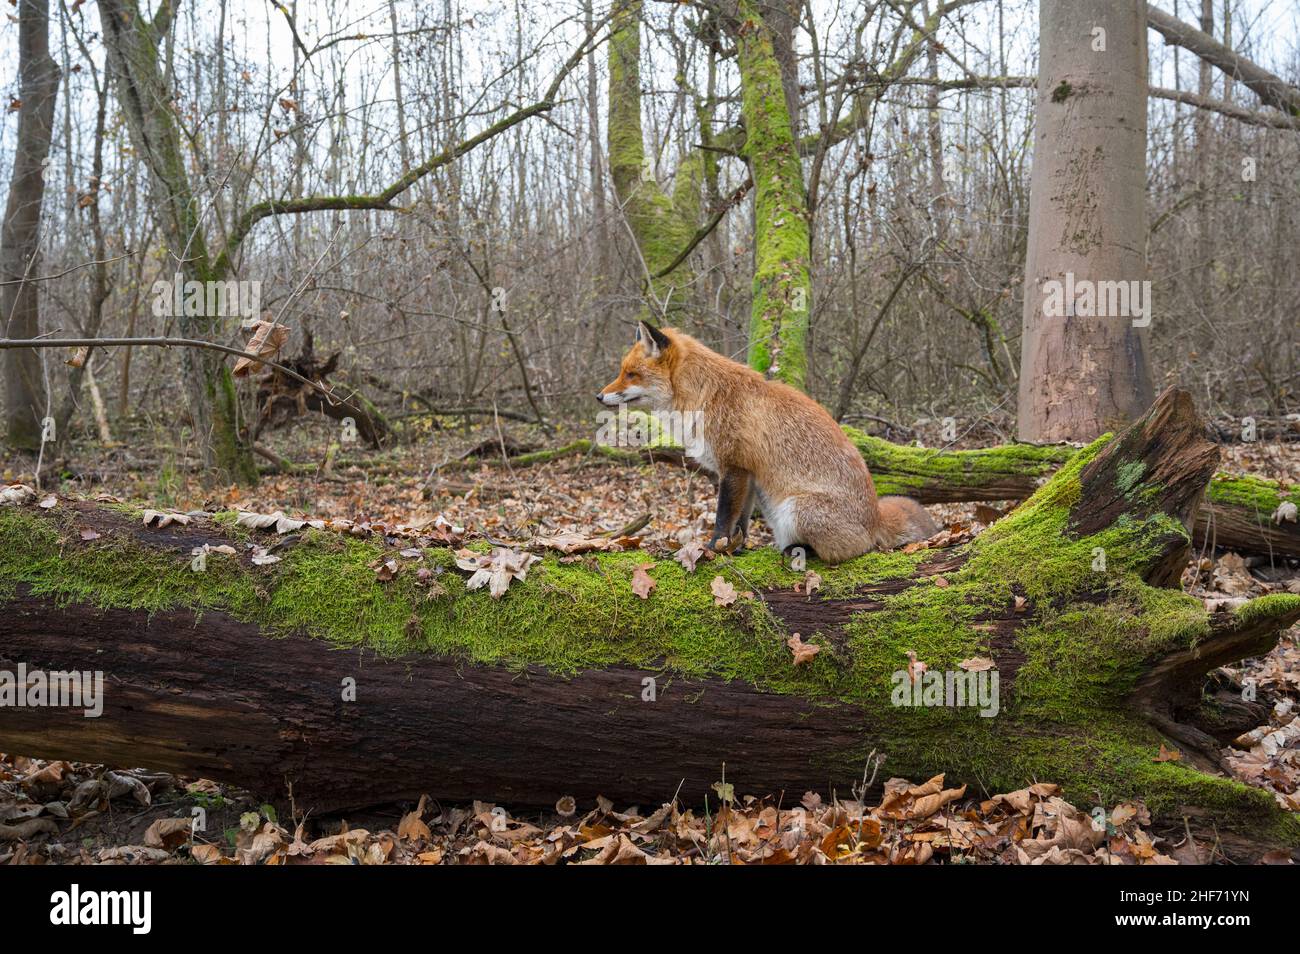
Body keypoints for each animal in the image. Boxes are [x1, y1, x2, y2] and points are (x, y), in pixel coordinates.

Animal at [598, 320, 939, 564]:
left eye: (631, 374)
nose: (598, 396)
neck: (704, 395)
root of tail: (875, 517)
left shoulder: (733, 466)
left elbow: (722, 518)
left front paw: (713, 549)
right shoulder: (747, 474)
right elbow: (741, 522)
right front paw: (736, 548)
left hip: (796, 508)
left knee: (853, 551)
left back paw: (800, 551)